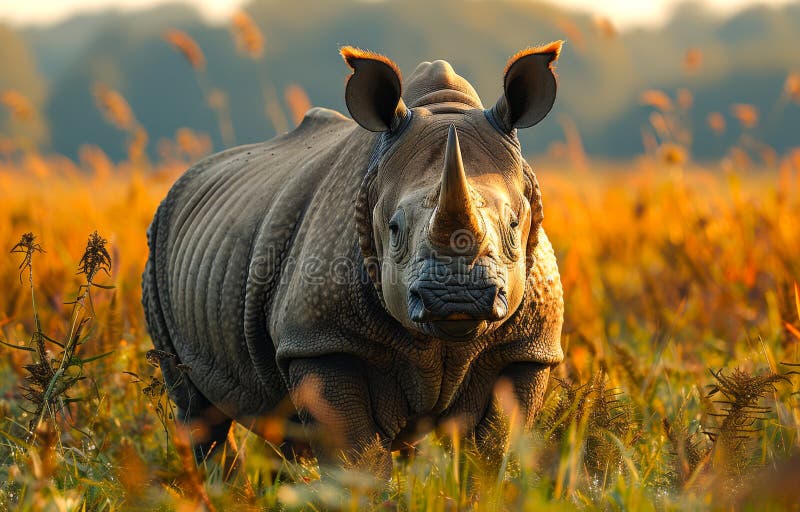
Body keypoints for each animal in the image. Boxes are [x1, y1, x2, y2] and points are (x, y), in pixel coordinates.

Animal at [142, 42, 565, 479]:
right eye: (393, 229)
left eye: (514, 224)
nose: (457, 299)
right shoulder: (321, 341)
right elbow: (357, 460)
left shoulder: (527, 348)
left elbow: (493, 453)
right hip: (158, 245)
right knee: (196, 408)